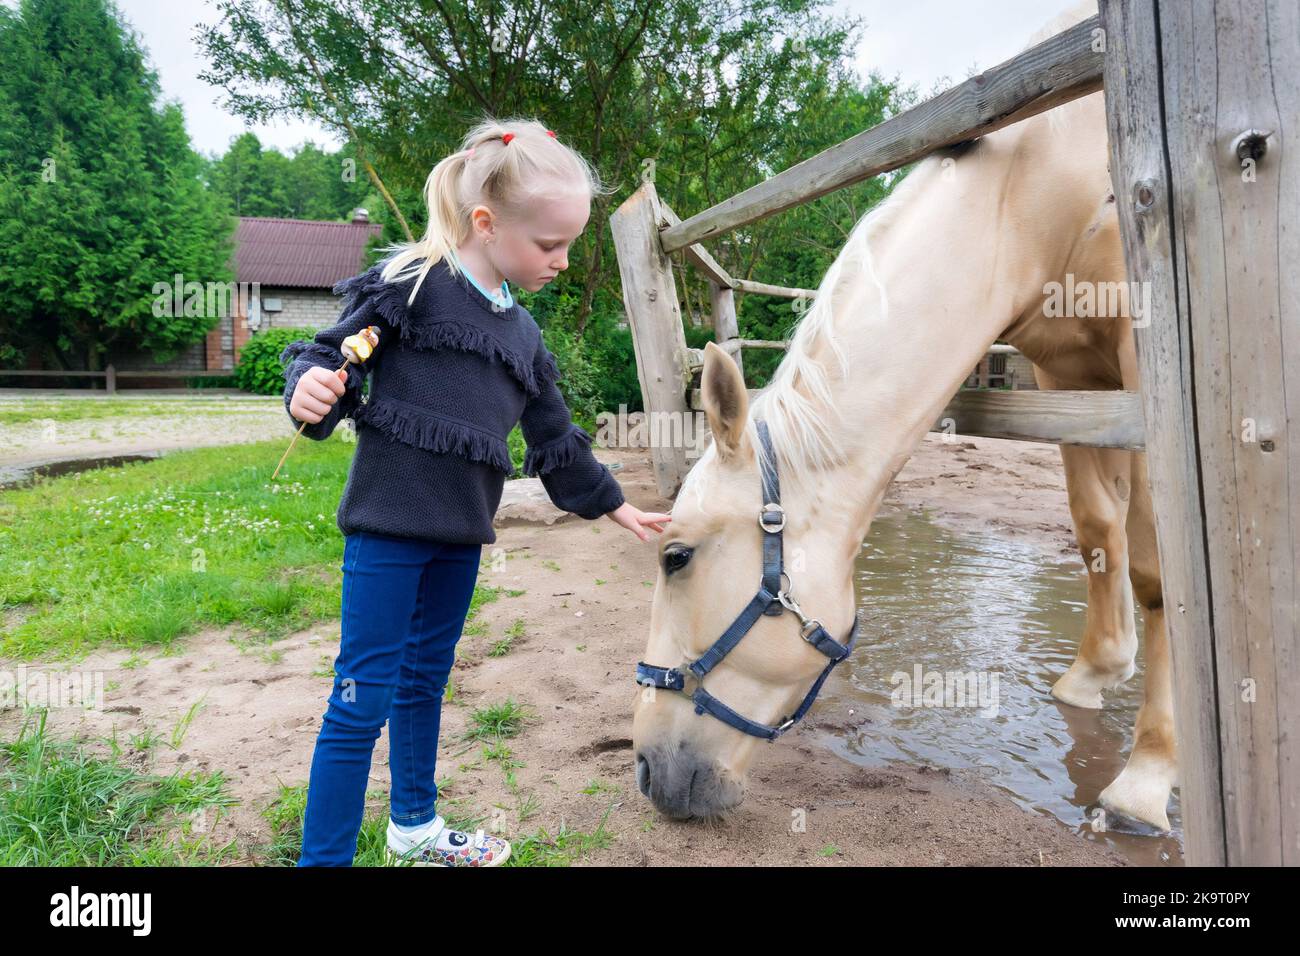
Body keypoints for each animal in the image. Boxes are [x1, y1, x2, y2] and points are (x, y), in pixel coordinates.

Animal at [631, 0, 1177, 833]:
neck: (1054, 183)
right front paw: (1093, 675)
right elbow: (1096, 527)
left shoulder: (1143, 361)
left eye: (676, 558)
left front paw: (1147, 777)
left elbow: (1156, 570)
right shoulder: (1071, 374)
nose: (644, 769)